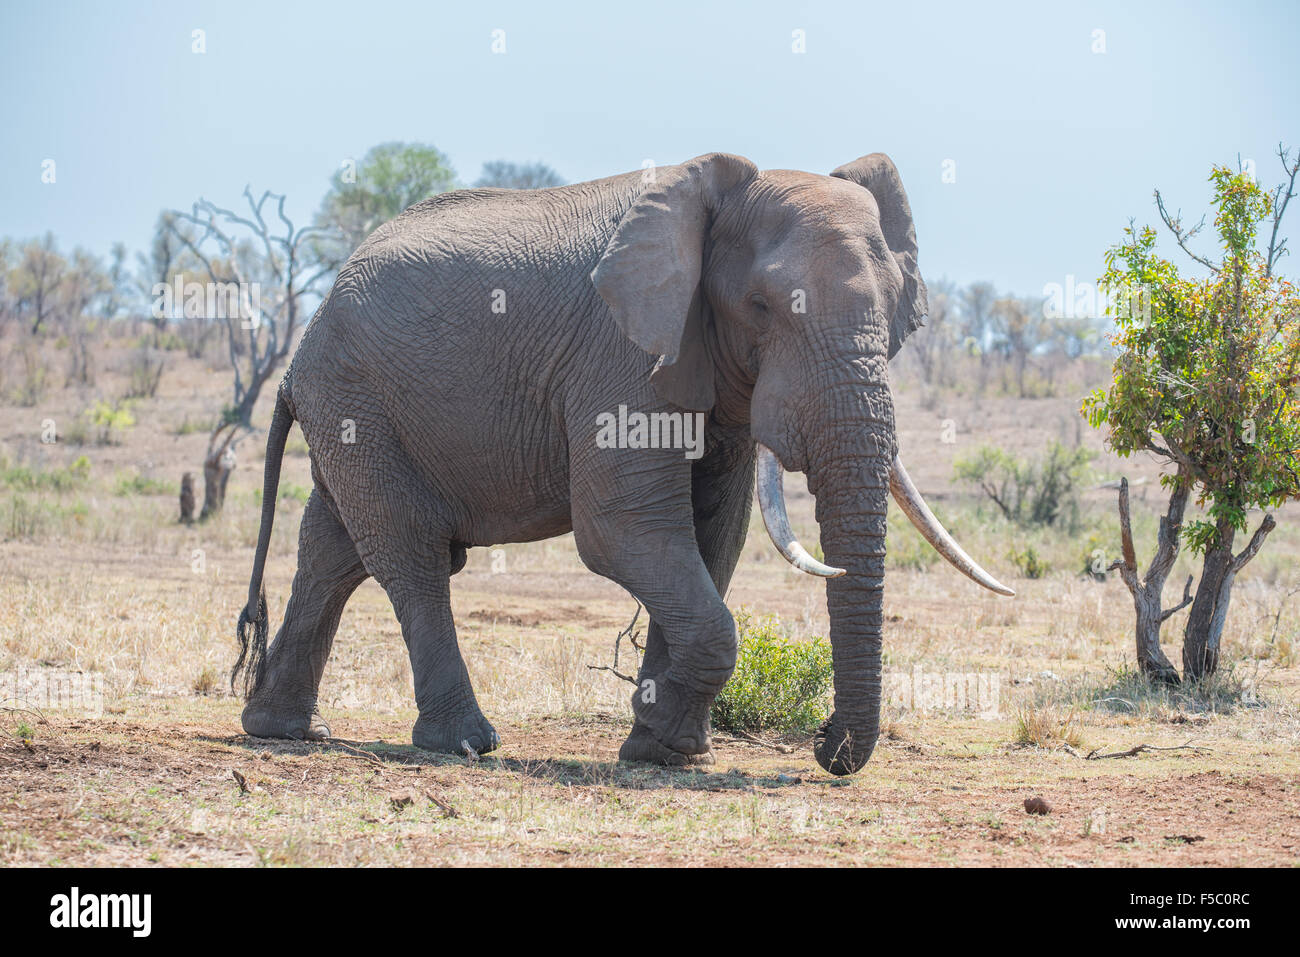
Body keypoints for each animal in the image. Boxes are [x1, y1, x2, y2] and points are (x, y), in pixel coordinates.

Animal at [233, 151, 1013, 776]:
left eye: (897, 308)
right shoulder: (619, 355)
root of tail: (298, 351)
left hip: (354, 408)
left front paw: (668, 750)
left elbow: (713, 537)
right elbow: (624, 532)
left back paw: (284, 730)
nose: (824, 745)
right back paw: (463, 743)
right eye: (761, 305)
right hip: (354, 395)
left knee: (332, 550)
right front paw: (663, 744)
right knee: (411, 554)